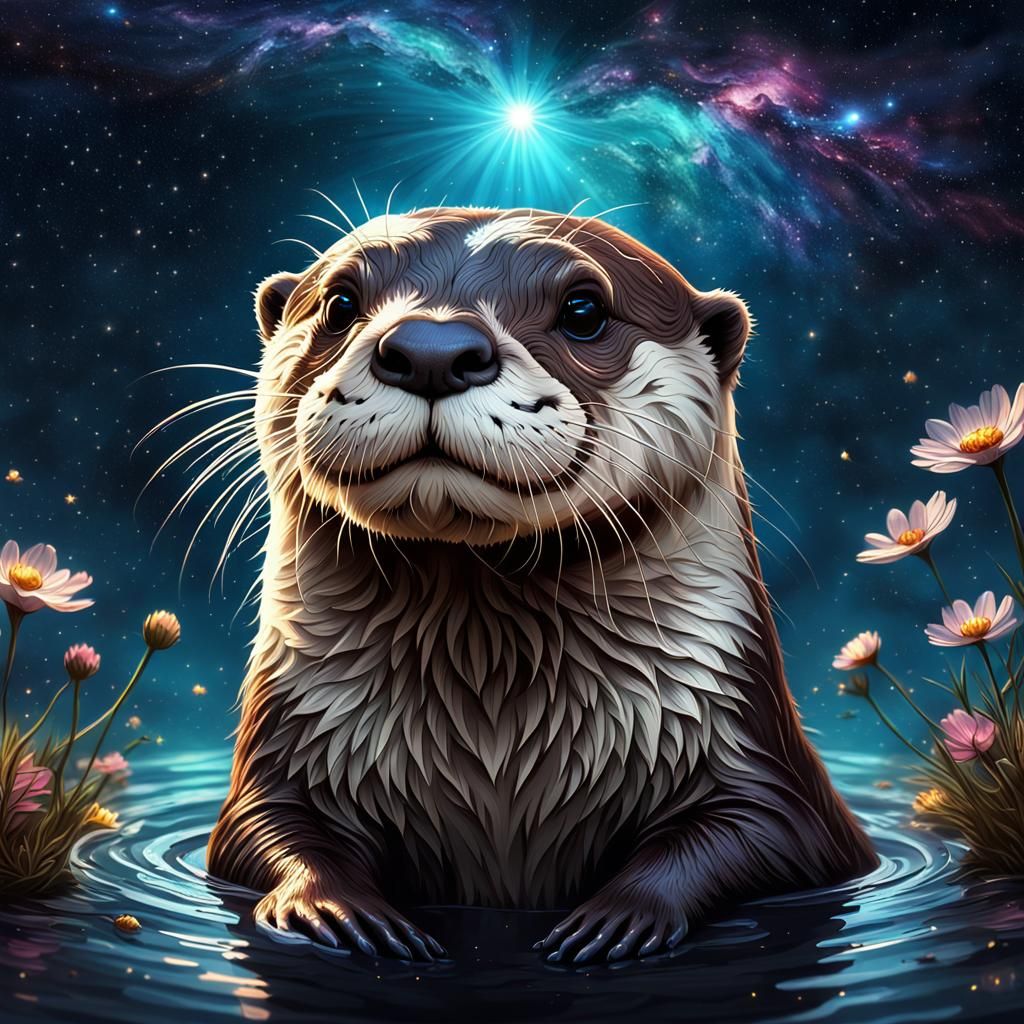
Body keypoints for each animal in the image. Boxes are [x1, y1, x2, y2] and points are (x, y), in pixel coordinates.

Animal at [207, 206, 876, 964]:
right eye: (340, 302)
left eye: (583, 310)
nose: (431, 348)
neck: (495, 732)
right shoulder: (288, 744)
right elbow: (266, 828)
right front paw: (338, 910)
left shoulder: (755, 755)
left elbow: (752, 829)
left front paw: (616, 920)